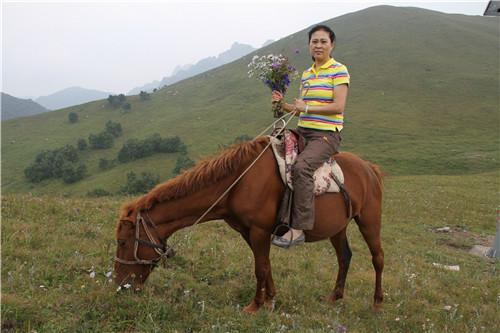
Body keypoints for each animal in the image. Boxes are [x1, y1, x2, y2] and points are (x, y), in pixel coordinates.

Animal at [115, 135, 384, 312]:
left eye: (122, 242)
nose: (121, 286)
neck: (238, 182)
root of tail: (369, 168)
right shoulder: (248, 232)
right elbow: (265, 265)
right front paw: (270, 299)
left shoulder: (259, 230)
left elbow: (260, 268)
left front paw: (255, 305)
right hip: (338, 228)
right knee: (344, 257)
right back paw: (335, 297)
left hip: (369, 220)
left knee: (377, 258)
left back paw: (377, 302)